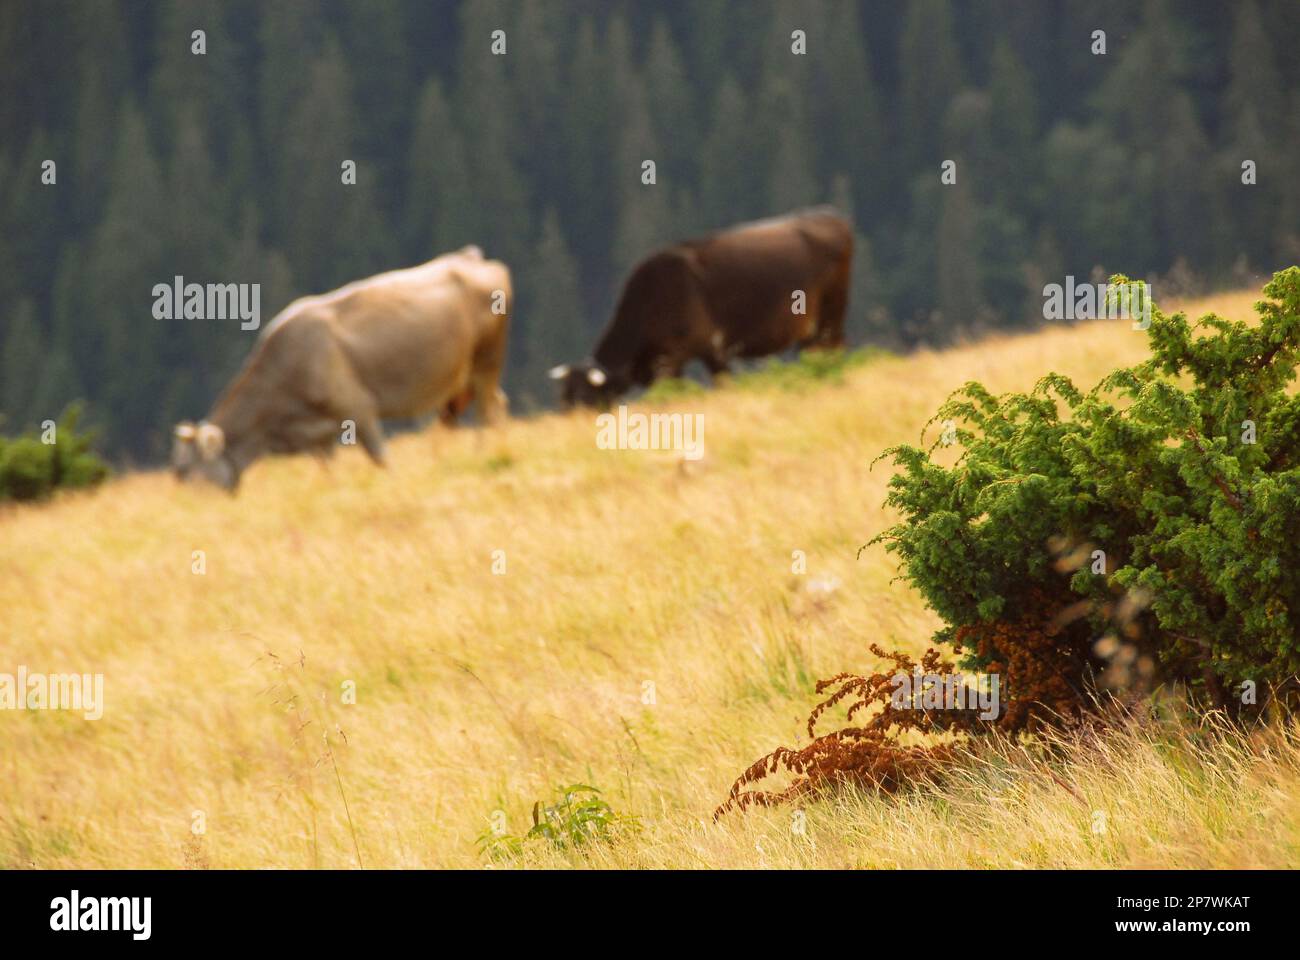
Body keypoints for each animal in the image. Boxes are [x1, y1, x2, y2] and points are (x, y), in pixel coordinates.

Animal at [172, 246, 510, 490]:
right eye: (176, 471)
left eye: (186, 470)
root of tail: (472, 257)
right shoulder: (318, 435)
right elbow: (327, 468)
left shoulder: (357, 407)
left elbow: (380, 458)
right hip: (465, 376)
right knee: (496, 405)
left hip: (487, 359)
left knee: (485, 412)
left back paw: (483, 454)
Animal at [549, 207, 853, 407]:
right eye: (564, 399)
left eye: (586, 399)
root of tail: (832, 216)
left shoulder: (703, 349)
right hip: (810, 329)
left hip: (832, 313)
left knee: (835, 348)